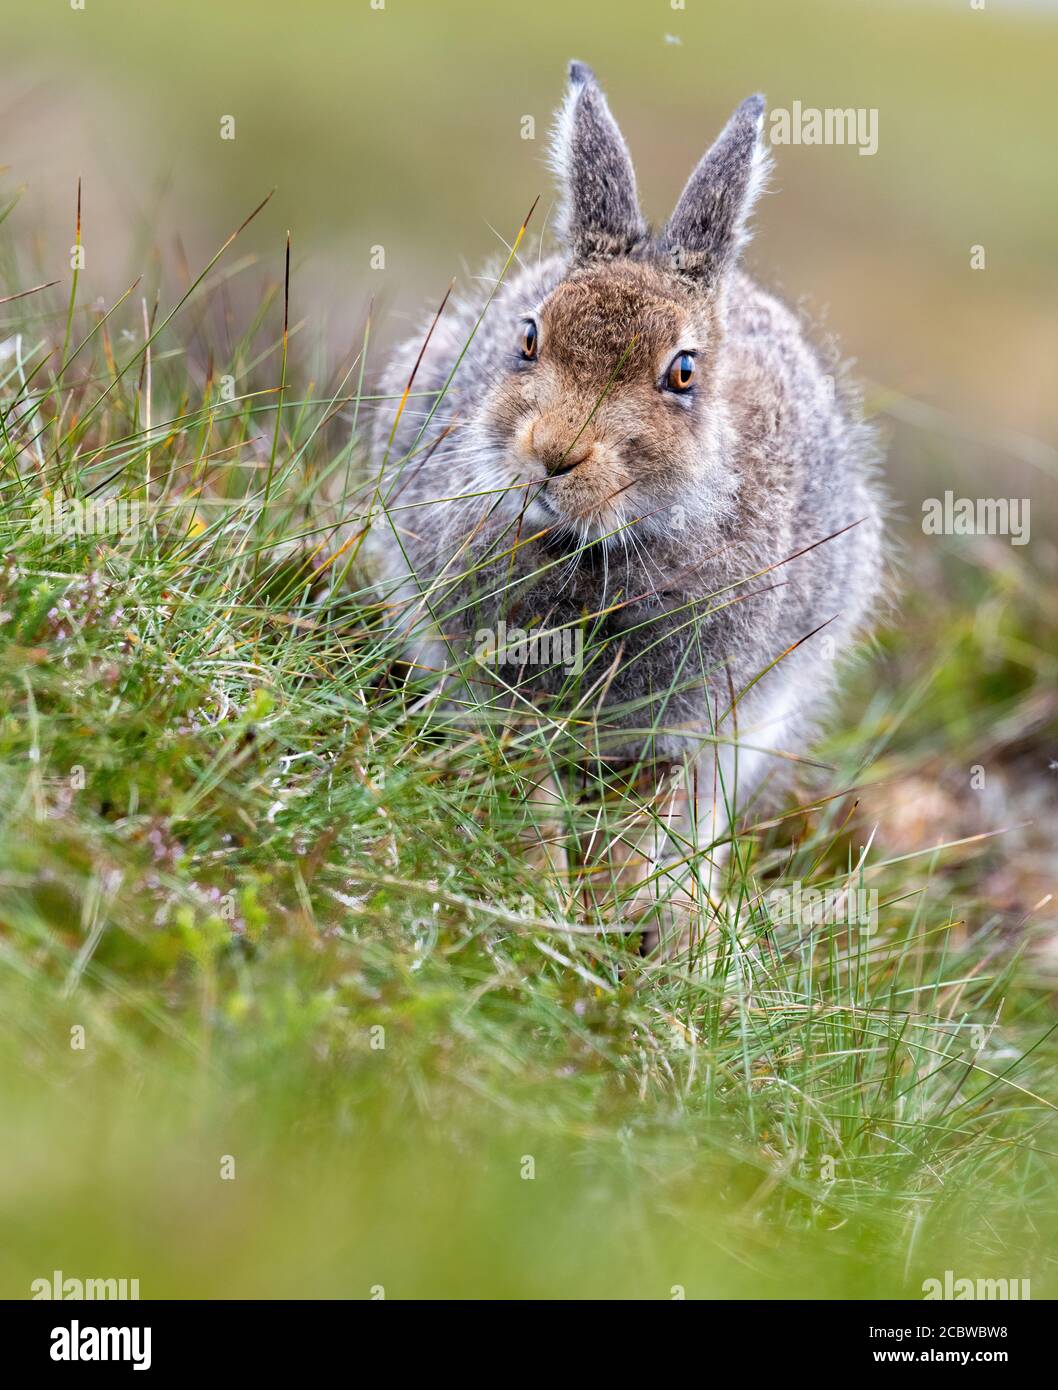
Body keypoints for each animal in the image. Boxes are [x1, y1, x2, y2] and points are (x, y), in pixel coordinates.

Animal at [365, 61, 885, 953]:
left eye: (682, 373)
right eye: (529, 338)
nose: (554, 454)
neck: (593, 544)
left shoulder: (684, 718)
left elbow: (645, 823)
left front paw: (623, 918)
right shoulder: (503, 690)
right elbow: (532, 796)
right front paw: (539, 899)